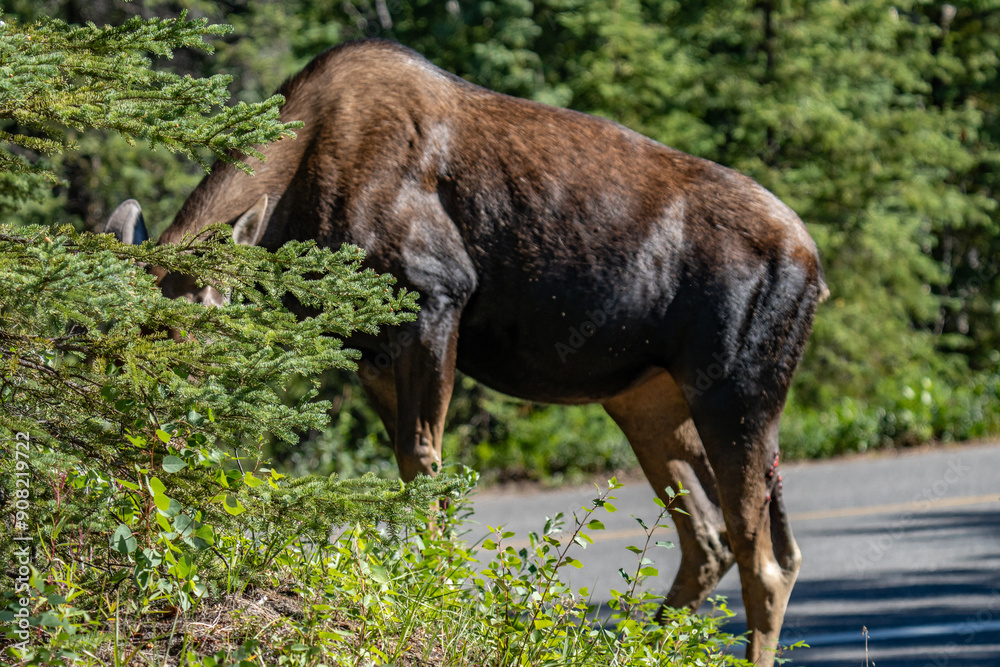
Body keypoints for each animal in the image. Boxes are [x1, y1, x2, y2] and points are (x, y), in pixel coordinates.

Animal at [106, 39, 827, 665]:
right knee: (712, 538)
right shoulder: (369, 352)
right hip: (647, 397)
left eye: (199, 339)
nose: (150, 441)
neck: (295, 214)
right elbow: (410, 472)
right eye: (112, 354)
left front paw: (434, 585)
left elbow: (426, 464)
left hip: (737, 389)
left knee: (765, 558)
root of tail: (816, 268)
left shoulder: (435, 295)